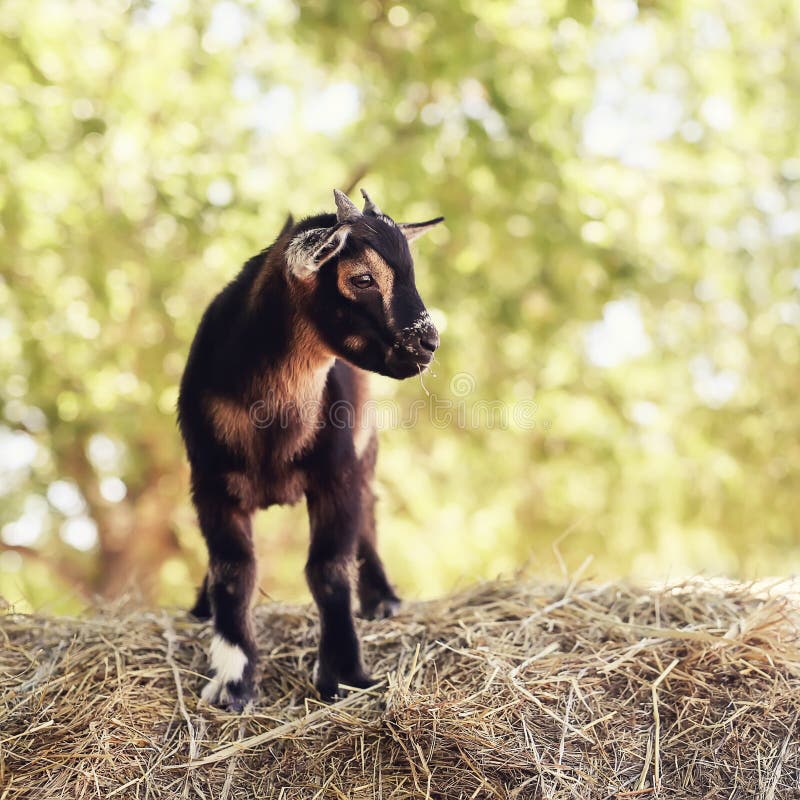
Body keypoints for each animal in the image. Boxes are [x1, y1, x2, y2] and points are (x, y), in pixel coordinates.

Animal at [178, 189, 443, 707]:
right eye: (361, 278)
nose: (428, 342)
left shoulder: (336, 478)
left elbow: (328, 570)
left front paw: (344, 672)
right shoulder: (212, 486)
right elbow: (233, 572)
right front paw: (233, 679)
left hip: (366, 449)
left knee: (371, 511)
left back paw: (382, 597)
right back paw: (199, 607)